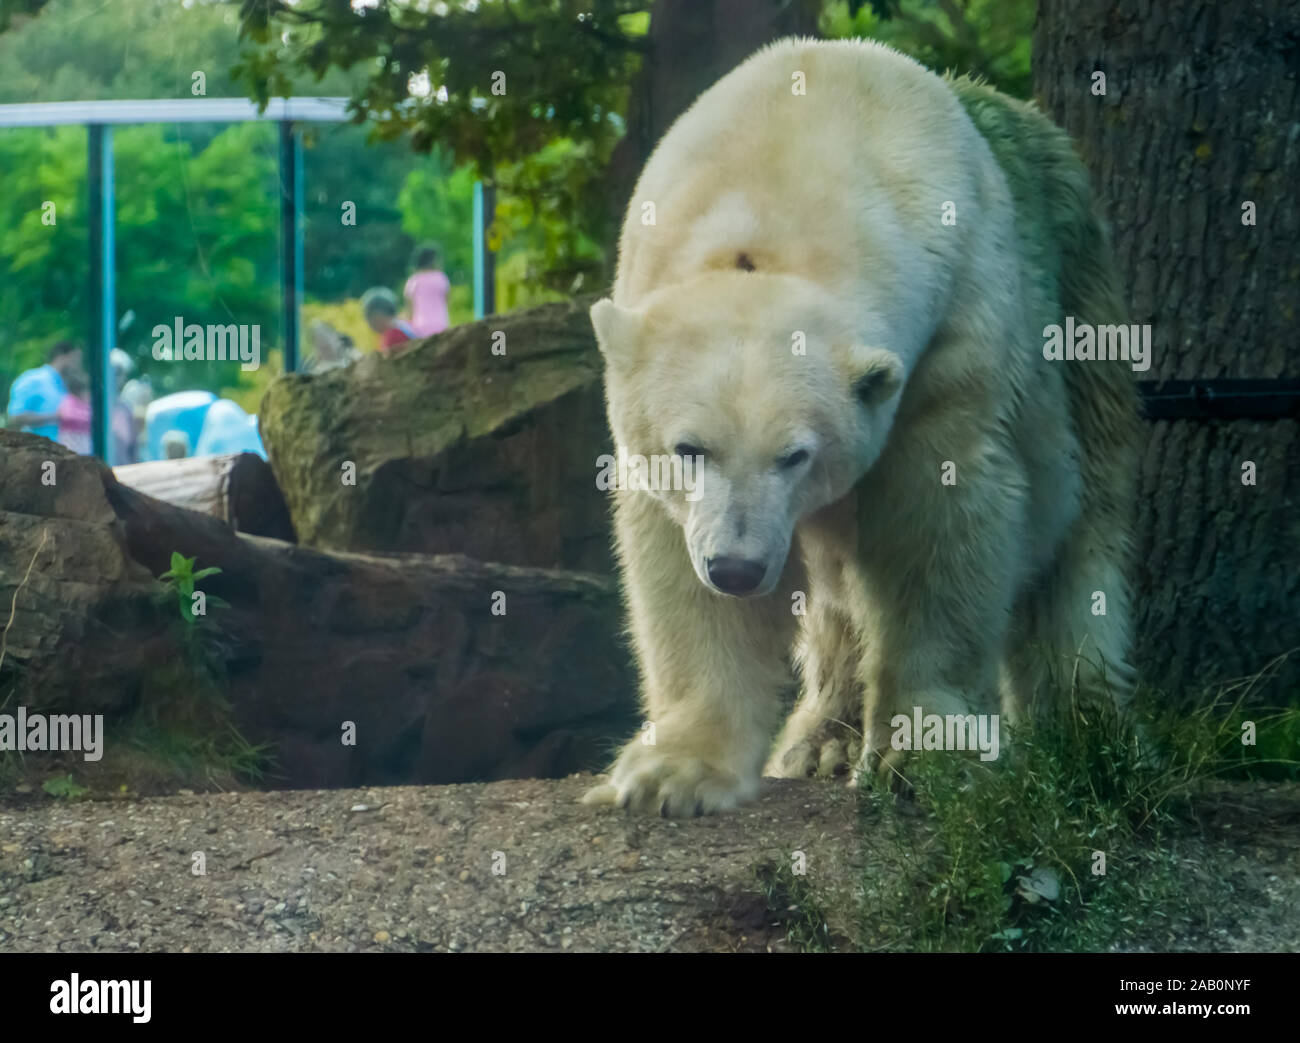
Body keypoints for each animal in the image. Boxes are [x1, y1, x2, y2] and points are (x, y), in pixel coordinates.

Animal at [582, 37, 1140, 816]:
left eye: (796, 454)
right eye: (689, 449)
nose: (736, 567)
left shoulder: (954, 336)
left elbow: (937, 517)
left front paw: (925, 757)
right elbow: (673, 557)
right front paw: (672, 774)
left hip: (1081, 306)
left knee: (1081, 528)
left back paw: (1086, 728)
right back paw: (822, 740)